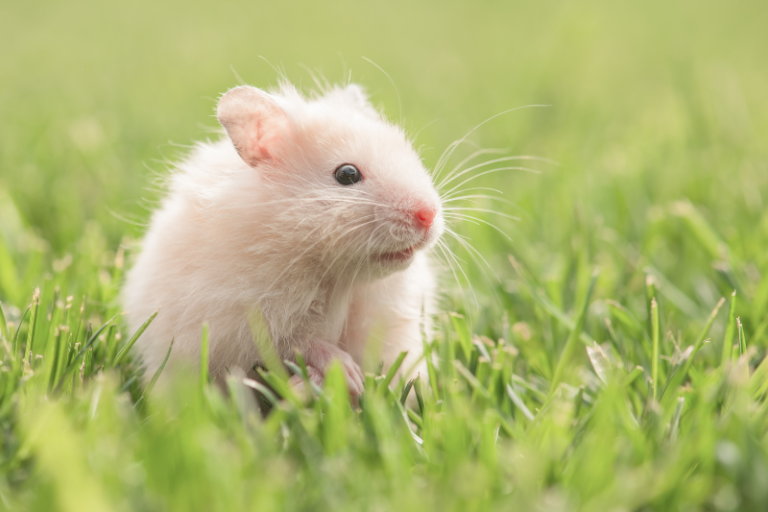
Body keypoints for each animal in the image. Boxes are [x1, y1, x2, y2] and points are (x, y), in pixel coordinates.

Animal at [123, 82, 444, 395]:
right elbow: (300, 344)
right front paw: (347, 374)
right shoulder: (245, 320)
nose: (428, 215)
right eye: (347, 174)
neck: (335, 275)